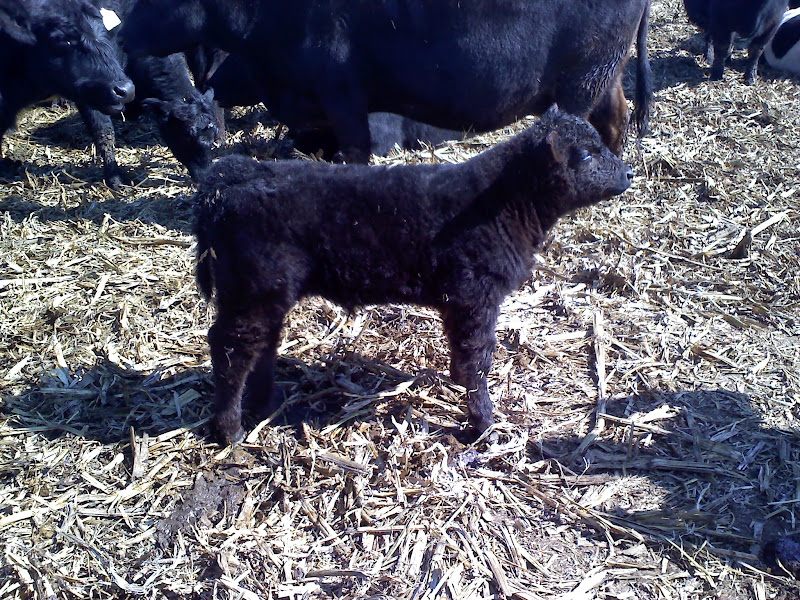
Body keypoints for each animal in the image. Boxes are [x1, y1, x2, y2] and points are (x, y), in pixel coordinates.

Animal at [121, 0, 652, 162]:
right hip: (603, 71)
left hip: (582, 77)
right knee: (615, 118)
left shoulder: (343, 96)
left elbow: (355, 151)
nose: (121, 30)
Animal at [192, 107, 634, 444]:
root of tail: (232, 176)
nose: (629, 173)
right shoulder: (474, 295)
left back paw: (263, 403)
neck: (500, 200)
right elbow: (477, 359)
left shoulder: (462, 302)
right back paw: (229, 429)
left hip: (265, 293)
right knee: (231, 348)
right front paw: (482, 423)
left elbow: (464, 357)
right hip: (254, 287)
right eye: (588, 154)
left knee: (260, 344)